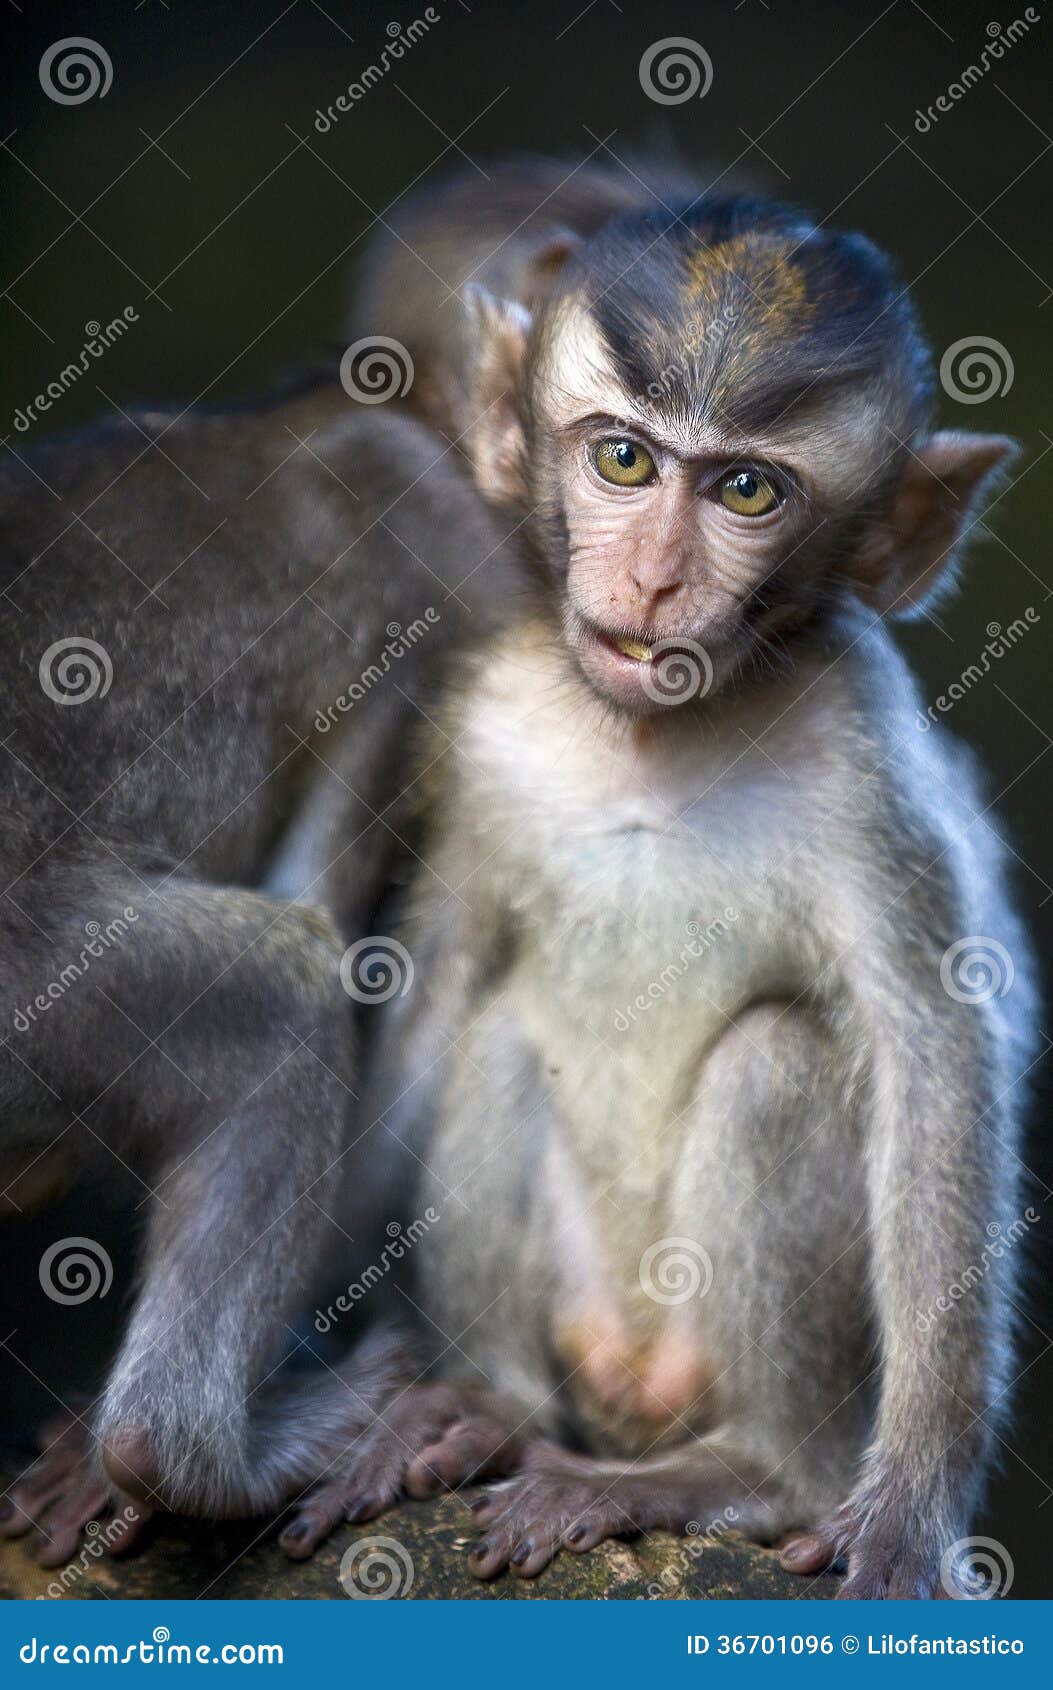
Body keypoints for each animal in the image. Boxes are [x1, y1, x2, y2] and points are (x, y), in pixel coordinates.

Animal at [277, 160, 1038, 1599]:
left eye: (746, 490)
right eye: (623, 457)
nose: (651, 575)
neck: (644, 742)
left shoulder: (863, 752)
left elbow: (931, 1061)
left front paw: (912, 1509)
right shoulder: (478, 720)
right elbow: (429, 996)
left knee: (776, 1060)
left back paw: (735, 1472)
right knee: (498, 1033)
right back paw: (482, 1410)